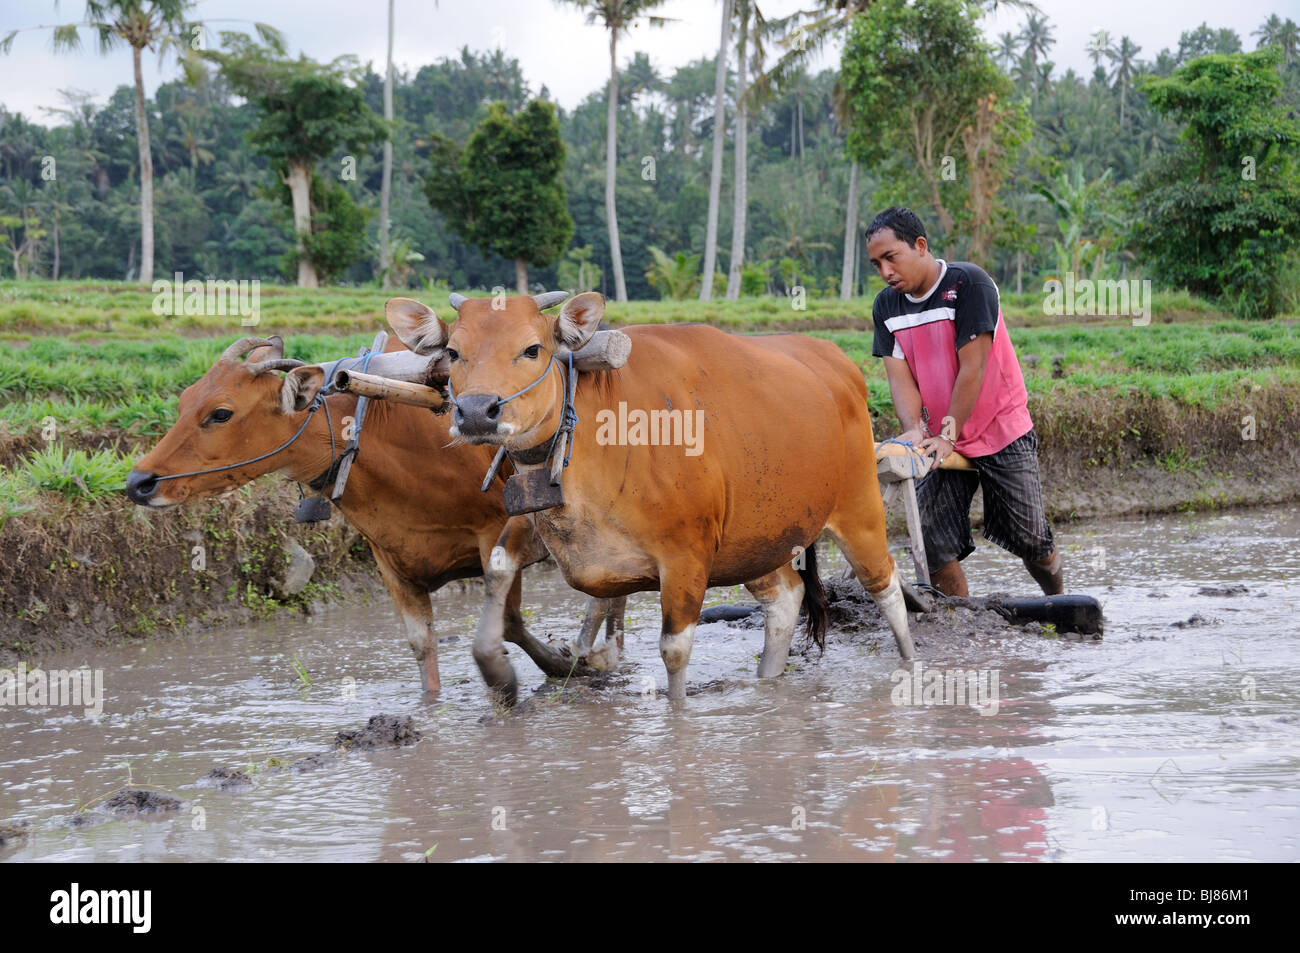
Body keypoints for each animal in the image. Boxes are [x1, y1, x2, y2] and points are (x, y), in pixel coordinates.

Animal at [124, 330, 624, 695]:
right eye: (185, 401)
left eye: (221, 413)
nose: (138, 483)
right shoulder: (391, 564)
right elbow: (423, 648)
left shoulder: (502, 530)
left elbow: (510, 623)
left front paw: (565, 664)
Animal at [385, 292, 915, 703]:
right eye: (454, 352)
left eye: (532, 349)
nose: (477, 412)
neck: (603, 438)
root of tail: (838, 363)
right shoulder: (546, 527)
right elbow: (496, 570)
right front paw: (497, 672)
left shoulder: (685, 558)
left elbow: (674, 654)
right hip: (755, 540)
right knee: (785, 597)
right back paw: (768, 680)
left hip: (859, 509)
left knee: (885, 586)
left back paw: (912, 663)